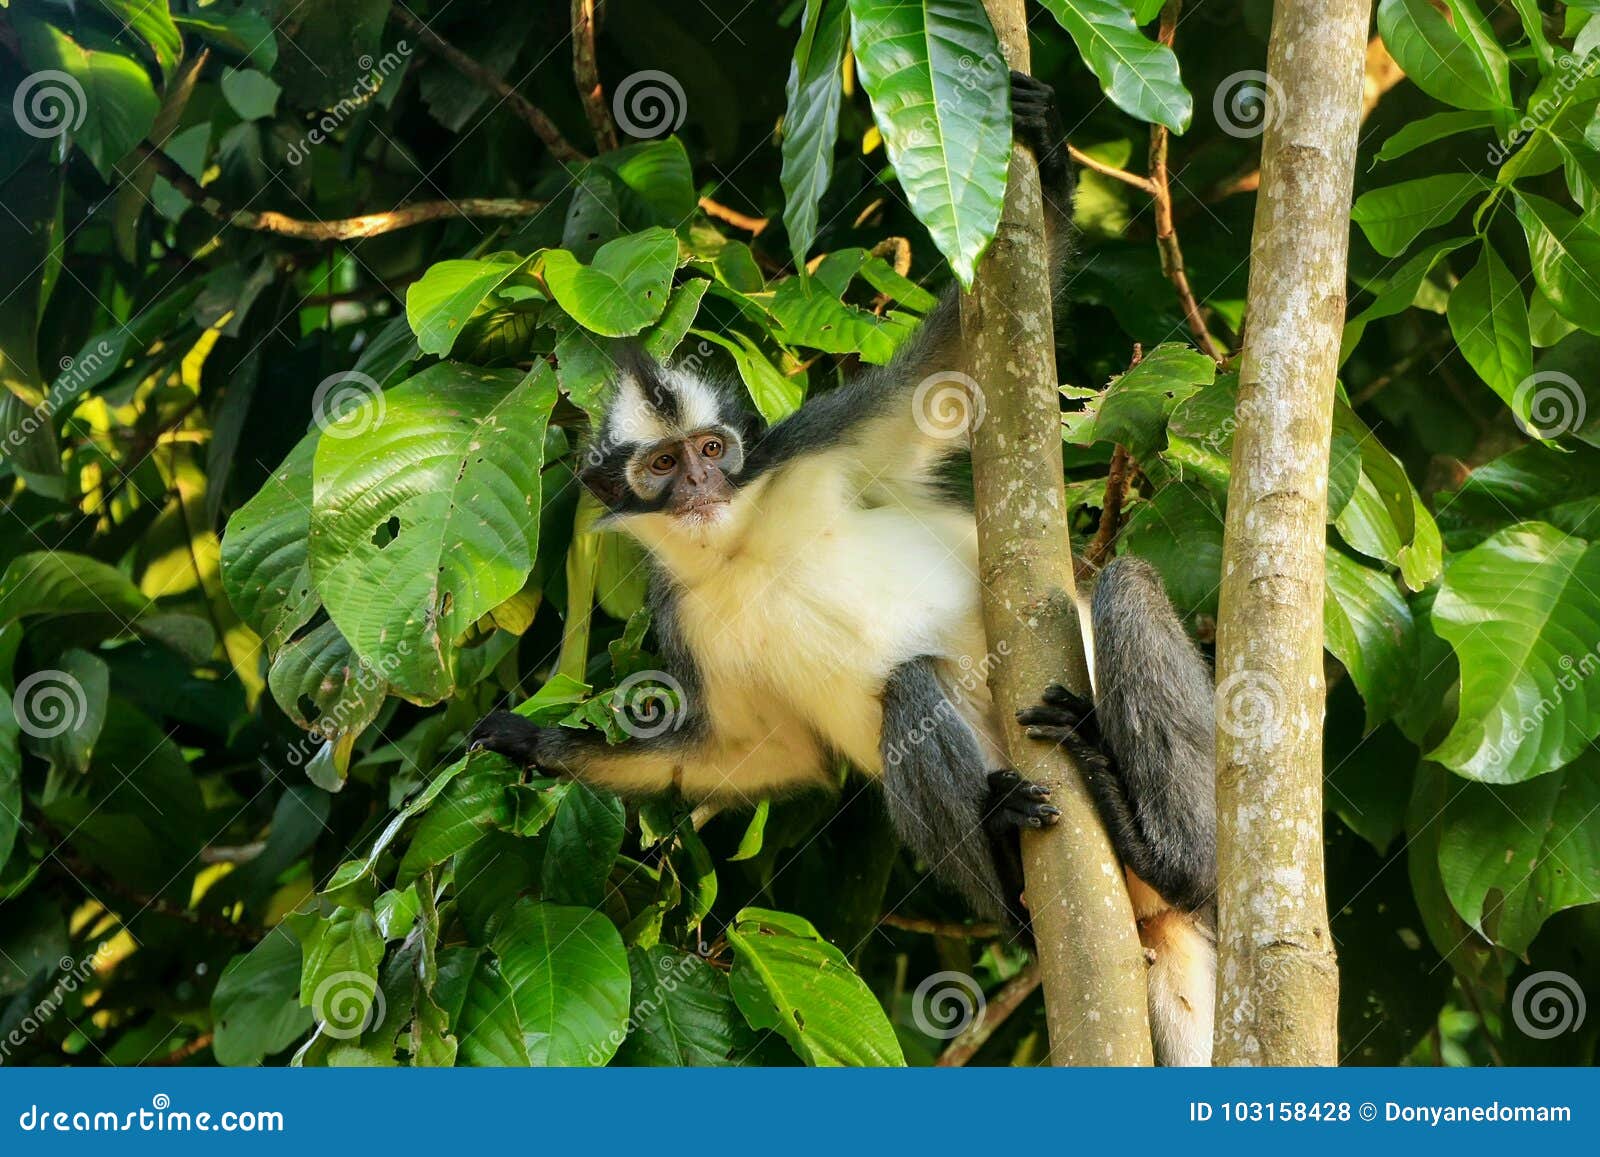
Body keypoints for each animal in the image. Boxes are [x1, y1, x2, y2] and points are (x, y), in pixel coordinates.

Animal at [469, 72, 1217, 1065]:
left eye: (714, 449)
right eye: (663, 466)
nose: (701, 483)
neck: (741, 541)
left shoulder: (809, 444)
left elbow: (950, 374)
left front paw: (1048, 152)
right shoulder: (681, 614)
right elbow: (758, 750)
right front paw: (538, 744)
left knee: (1113, 592)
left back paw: (1161, 846)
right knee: (909, 690)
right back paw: (1009, 857)